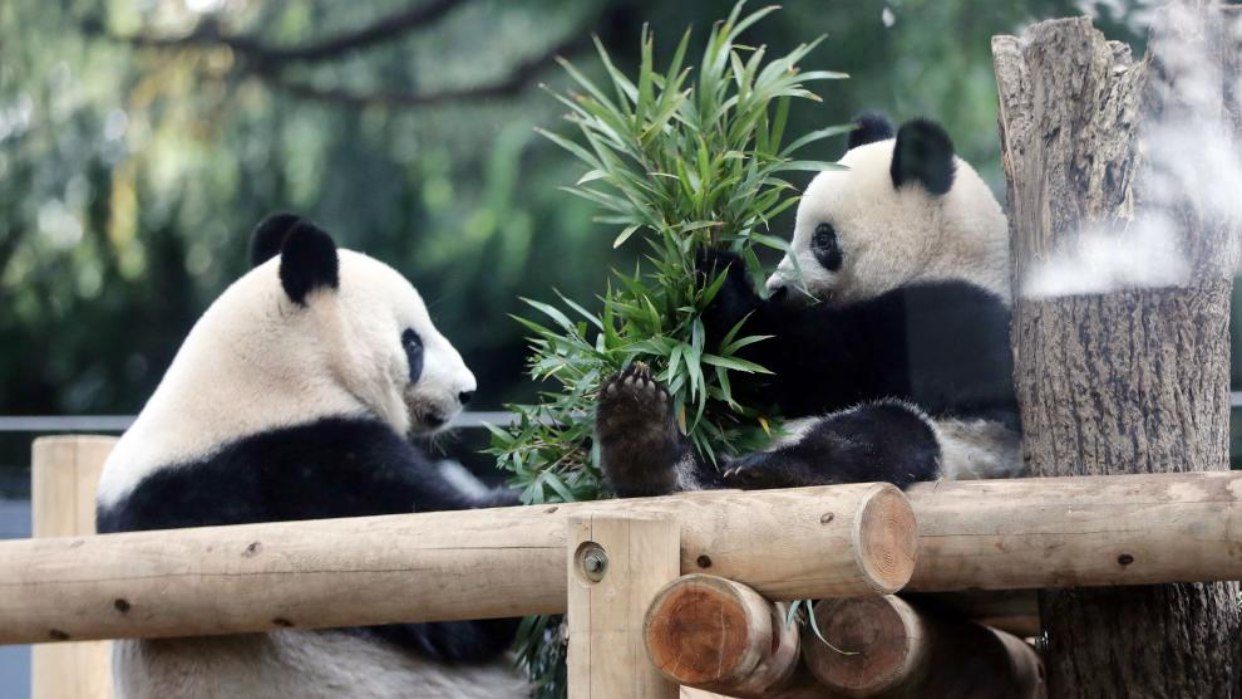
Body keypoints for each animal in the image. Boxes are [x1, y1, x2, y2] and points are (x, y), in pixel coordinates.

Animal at [595, 114, 1021, 497]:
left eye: (823, 239)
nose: (777, 288)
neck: (947, 257)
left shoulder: (946, 315)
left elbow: (812, 362)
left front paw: (720, 278)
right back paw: (640, 434)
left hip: (965, 446)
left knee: (877, 434)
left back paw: (773, 470)